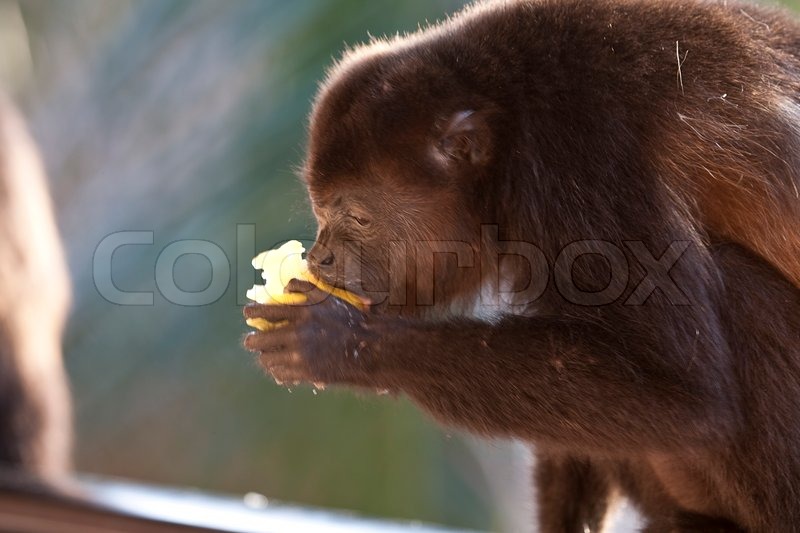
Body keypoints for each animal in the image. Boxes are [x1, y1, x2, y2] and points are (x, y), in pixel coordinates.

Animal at [243, 0, 800, 530]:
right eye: (320, 211)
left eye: (358, 217)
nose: (320, 256)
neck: (506, 122)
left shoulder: (585, 166)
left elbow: (686, 395)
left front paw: (340, 341)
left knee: (738, 285)